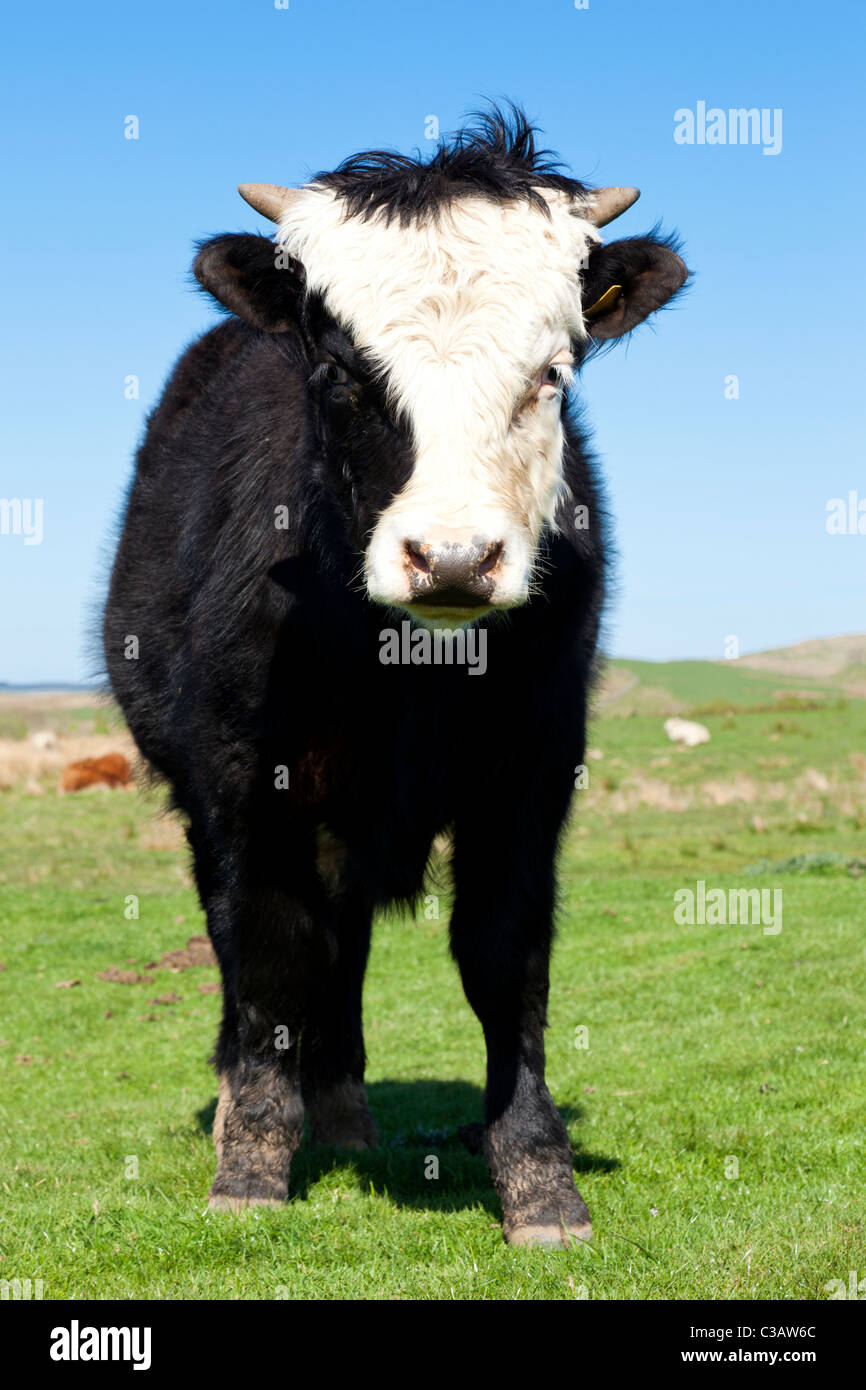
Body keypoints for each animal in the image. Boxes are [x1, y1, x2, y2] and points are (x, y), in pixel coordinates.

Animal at [103, 107, 688, 1248]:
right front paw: (249, 1165)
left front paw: (538, 1179)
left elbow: (504, 957)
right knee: (249, 942)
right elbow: (270, 951)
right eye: (342, 375)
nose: (453, 560)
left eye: (552, 371)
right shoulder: (247, 778)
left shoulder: (532, 770)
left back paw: (341, 1109)